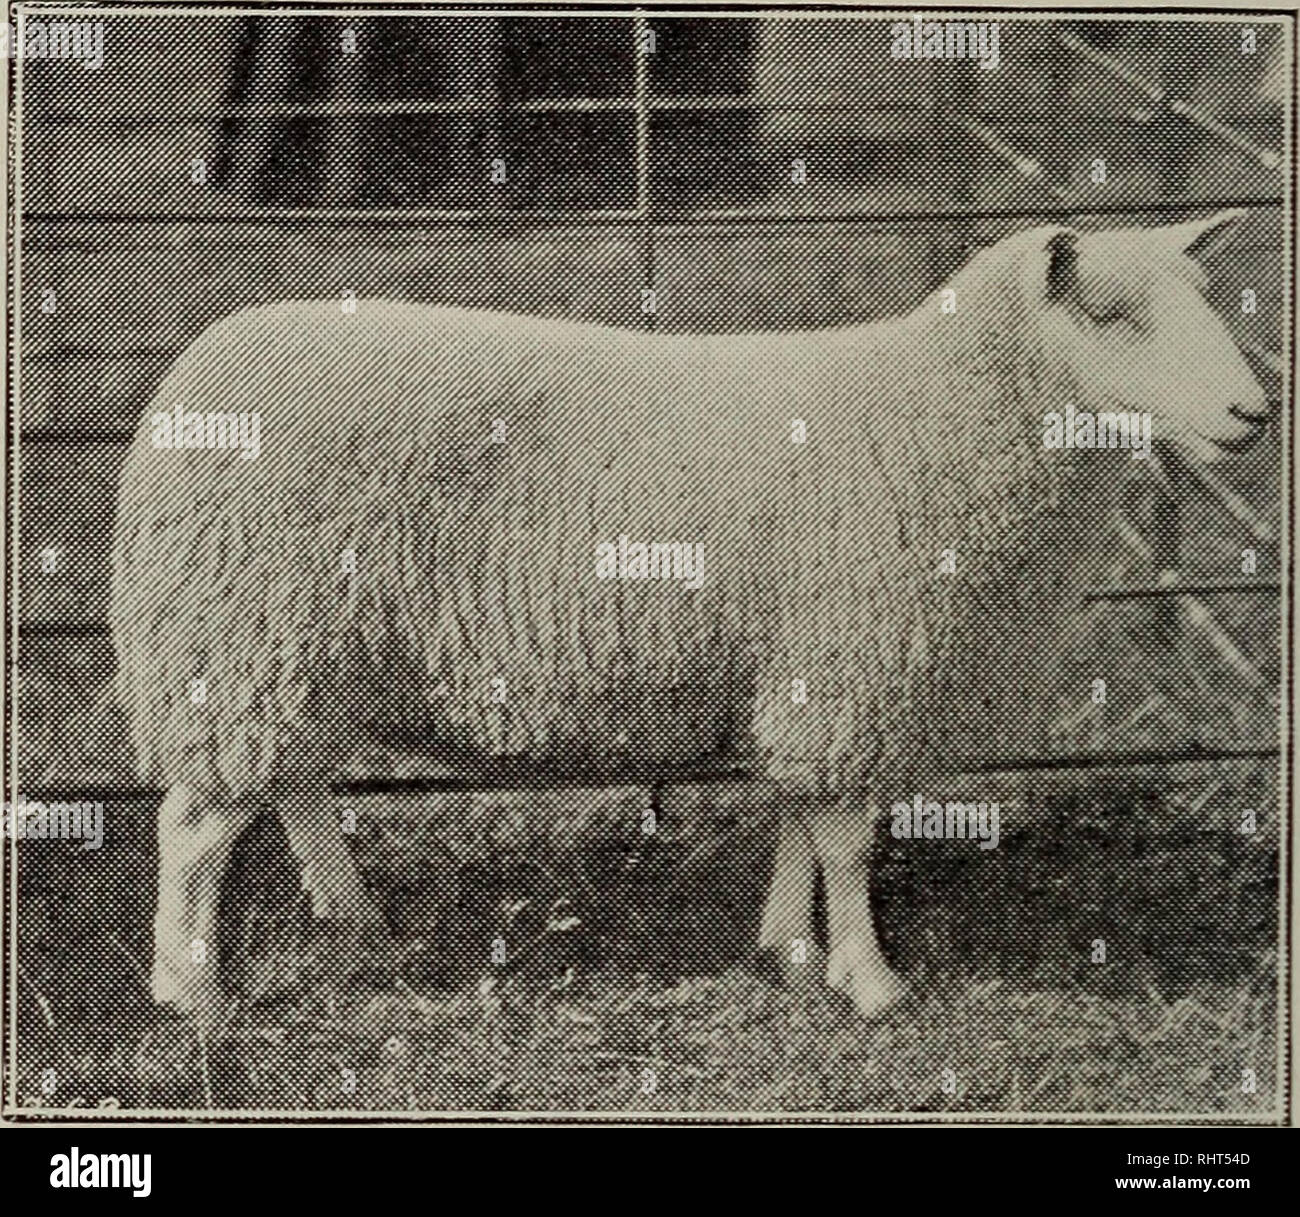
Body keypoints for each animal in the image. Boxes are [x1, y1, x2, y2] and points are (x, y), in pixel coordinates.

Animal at [109, 211, 1267, 1022]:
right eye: (1110, 315)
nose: (1254, 413)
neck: (939, 411)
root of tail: (194, 371)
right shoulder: (846, 663)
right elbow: (847, 841)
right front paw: (869, 978)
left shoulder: (805, 673)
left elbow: (801, 817)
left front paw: (788, 947)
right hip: (239, 627)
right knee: (194, 827)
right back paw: (192, 986)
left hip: (290, 645)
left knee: (290, 781)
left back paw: (348, 912)